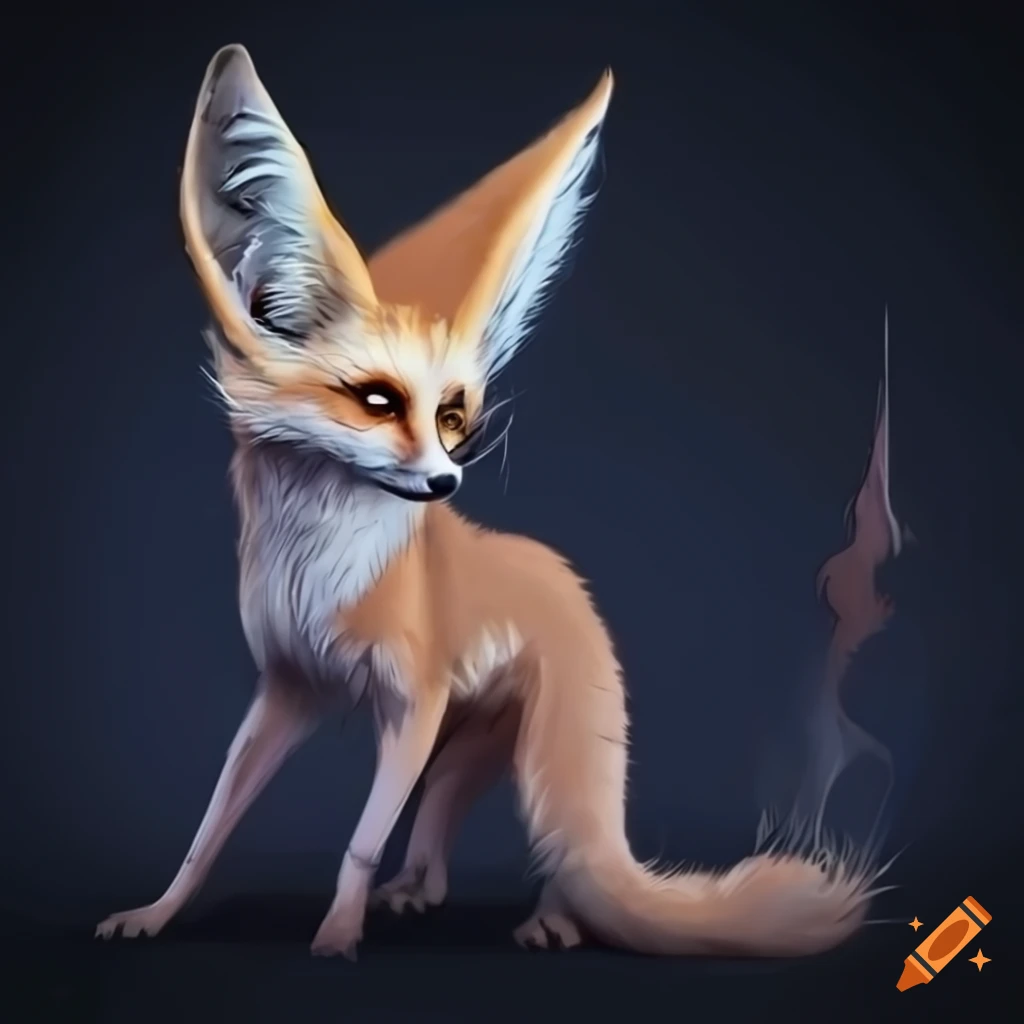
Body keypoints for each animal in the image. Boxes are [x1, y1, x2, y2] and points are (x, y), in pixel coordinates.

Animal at [96, 44, 875, 959]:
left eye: (452, 414)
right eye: (378, 402)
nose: (445, 484)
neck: (314, 569)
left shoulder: (413, 700)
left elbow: (359, 842)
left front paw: (336, 938)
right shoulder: (289, 691)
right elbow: (208, 830)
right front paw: (157, 914)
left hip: (534, 771)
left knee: (570, 860)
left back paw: (551, 920)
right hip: (464, 748)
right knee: (438, 840)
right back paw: (420, 893)